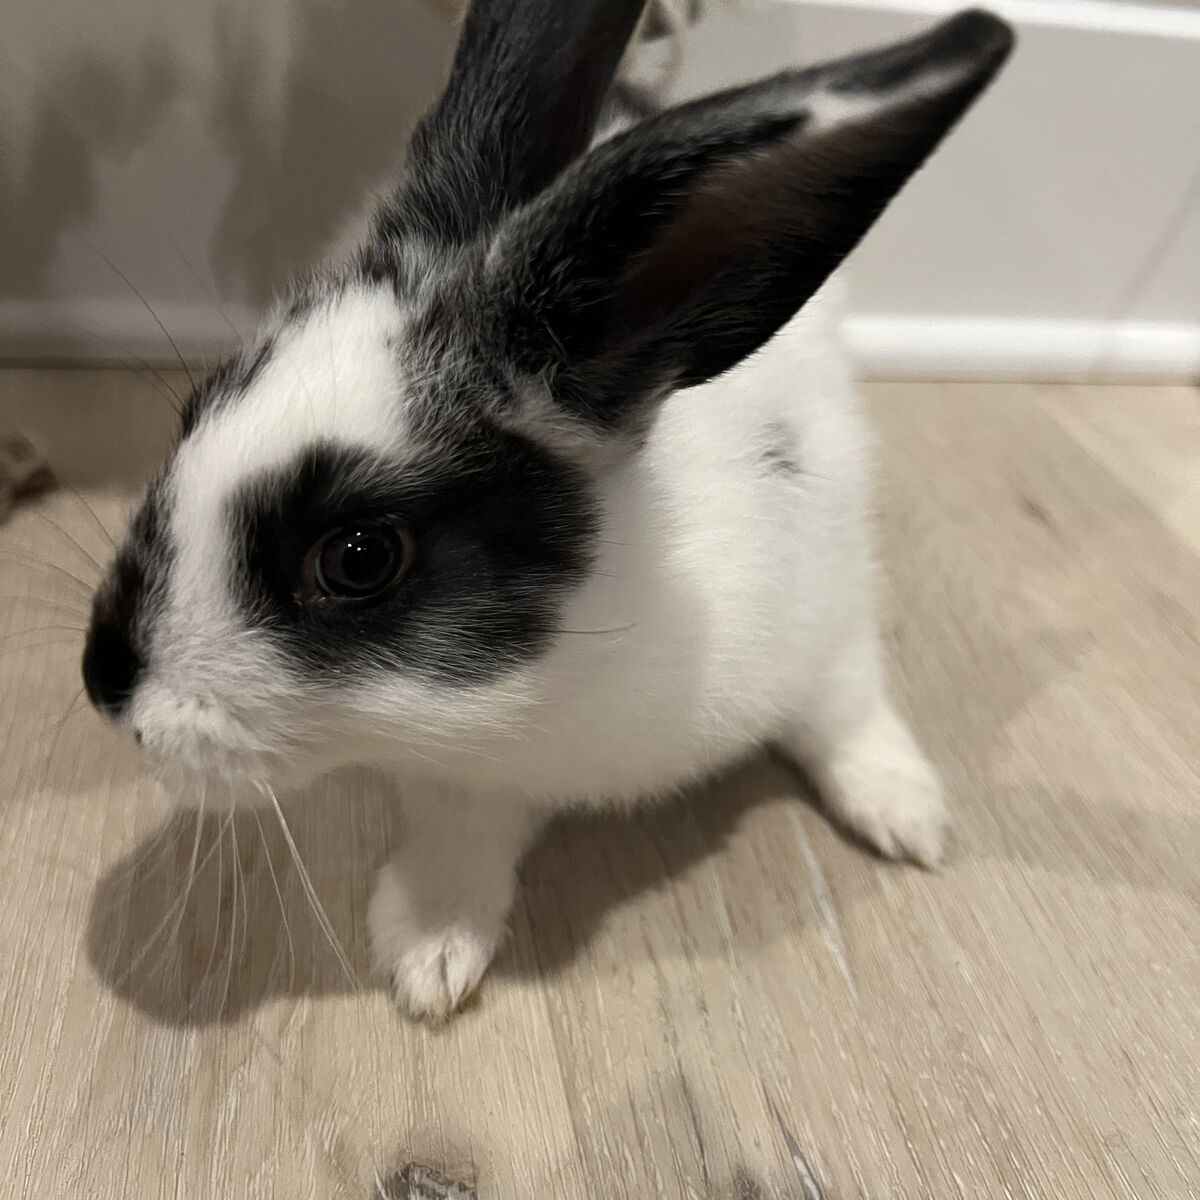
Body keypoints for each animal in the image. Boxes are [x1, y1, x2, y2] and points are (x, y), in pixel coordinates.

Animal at [81, 0, 1013, 1022]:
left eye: (359, 557)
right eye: (193, 411)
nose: (104, 684)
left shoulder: (828, 605)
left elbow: (846, 706)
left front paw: (907, 814)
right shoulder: (457, 775)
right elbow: (461, 841)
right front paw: (430, 952)